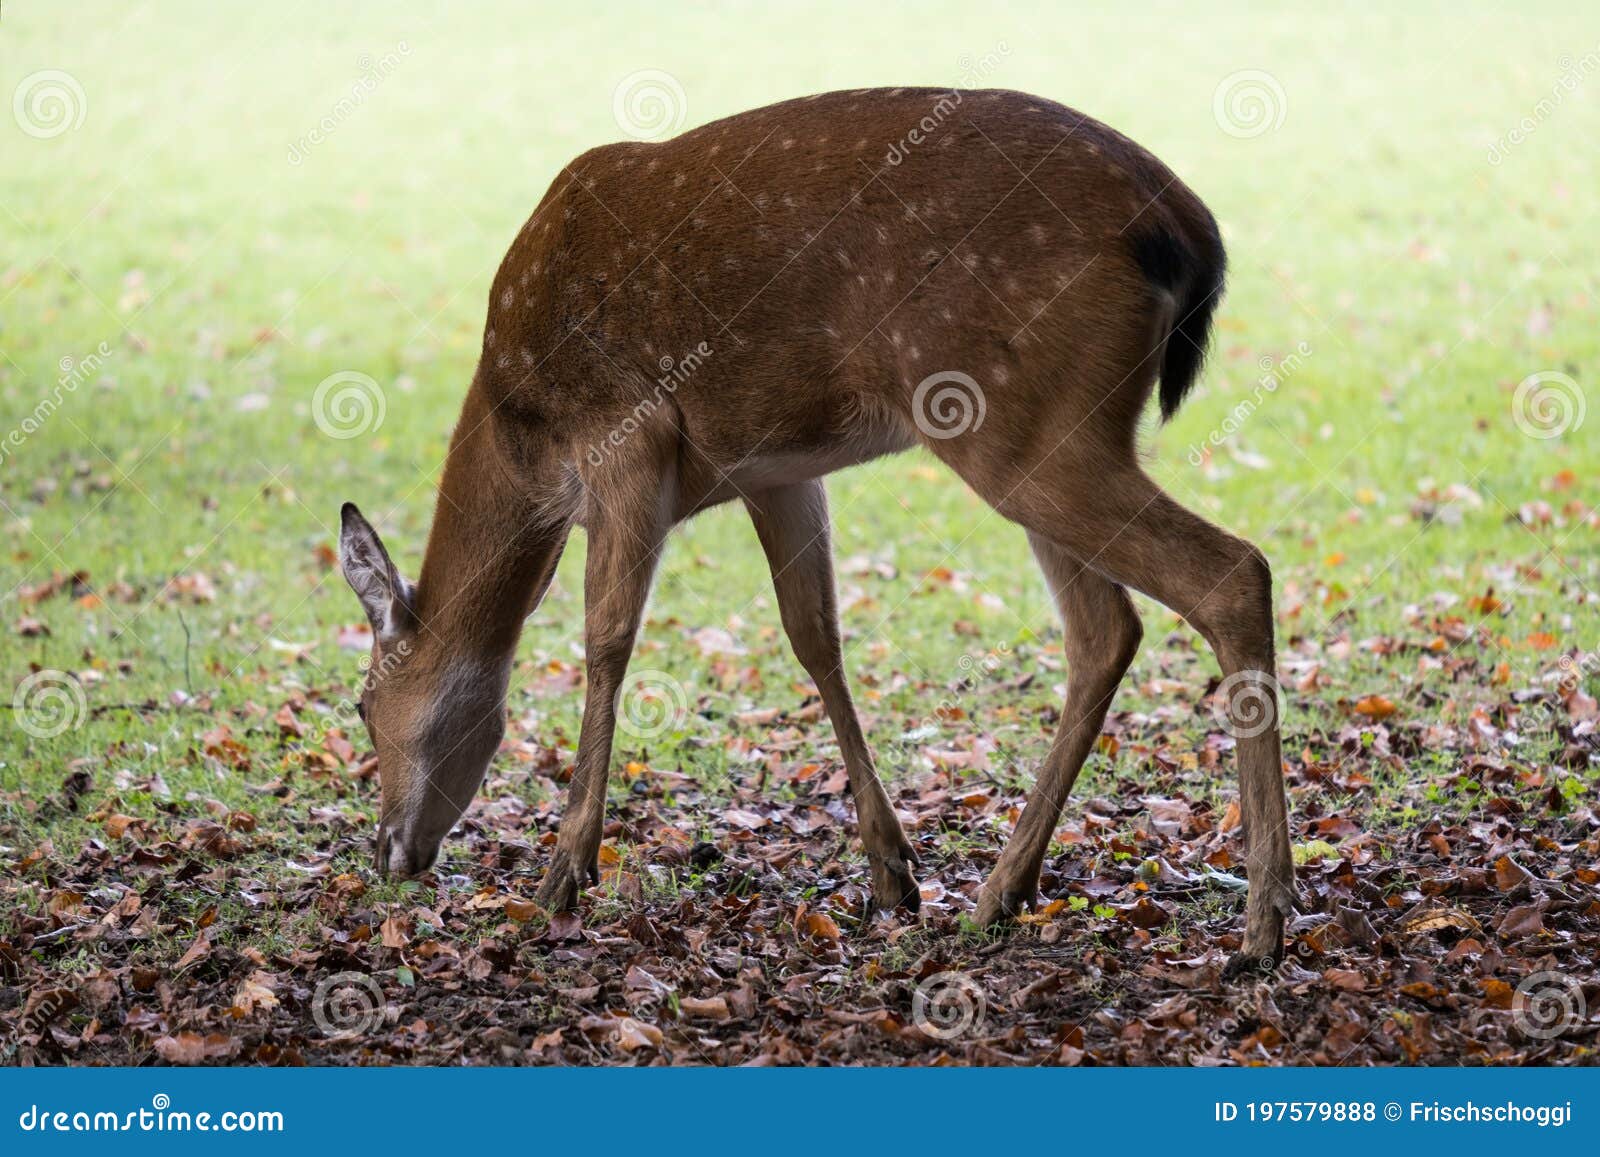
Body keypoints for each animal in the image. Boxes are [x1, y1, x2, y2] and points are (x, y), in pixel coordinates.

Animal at [338, 87, 1297, 971]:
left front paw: (562, 873)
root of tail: (1186, 231)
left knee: (1231, 572)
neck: (521, 436)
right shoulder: (778, 471)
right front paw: (891, 870)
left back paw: (1262, 924)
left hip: (1021, 421)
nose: (387, 852)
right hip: (1051, 427)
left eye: (362, 705)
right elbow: (815, 636)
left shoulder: (628, 440)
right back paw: (1001, 893)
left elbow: (607, 639)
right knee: (1106, 629)